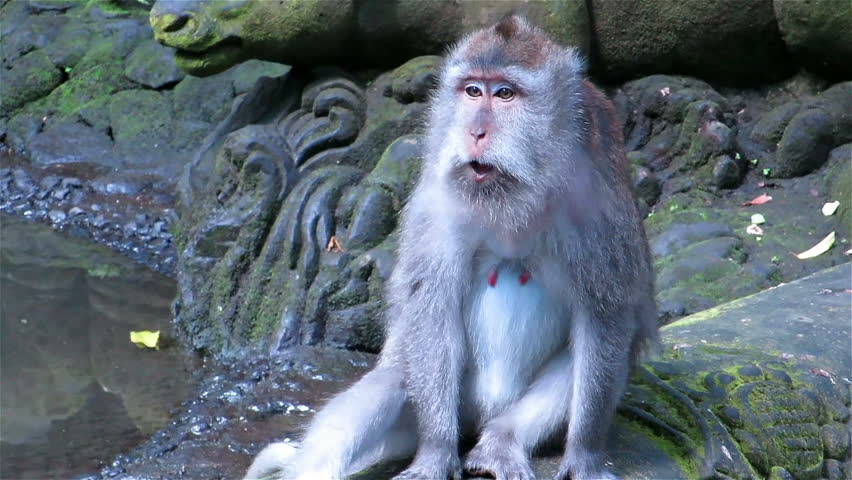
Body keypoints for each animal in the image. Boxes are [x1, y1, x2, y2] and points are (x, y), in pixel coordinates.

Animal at [245, 15, 657, 480]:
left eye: (505, 94)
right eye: (473, 91)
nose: (475, 131)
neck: (513, 198)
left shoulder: (599, 204)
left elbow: (605, 315)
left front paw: (585, 455)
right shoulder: (435, 203)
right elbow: (431, 307)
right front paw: (436, 454)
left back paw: (501, 442)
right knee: (391, 379)